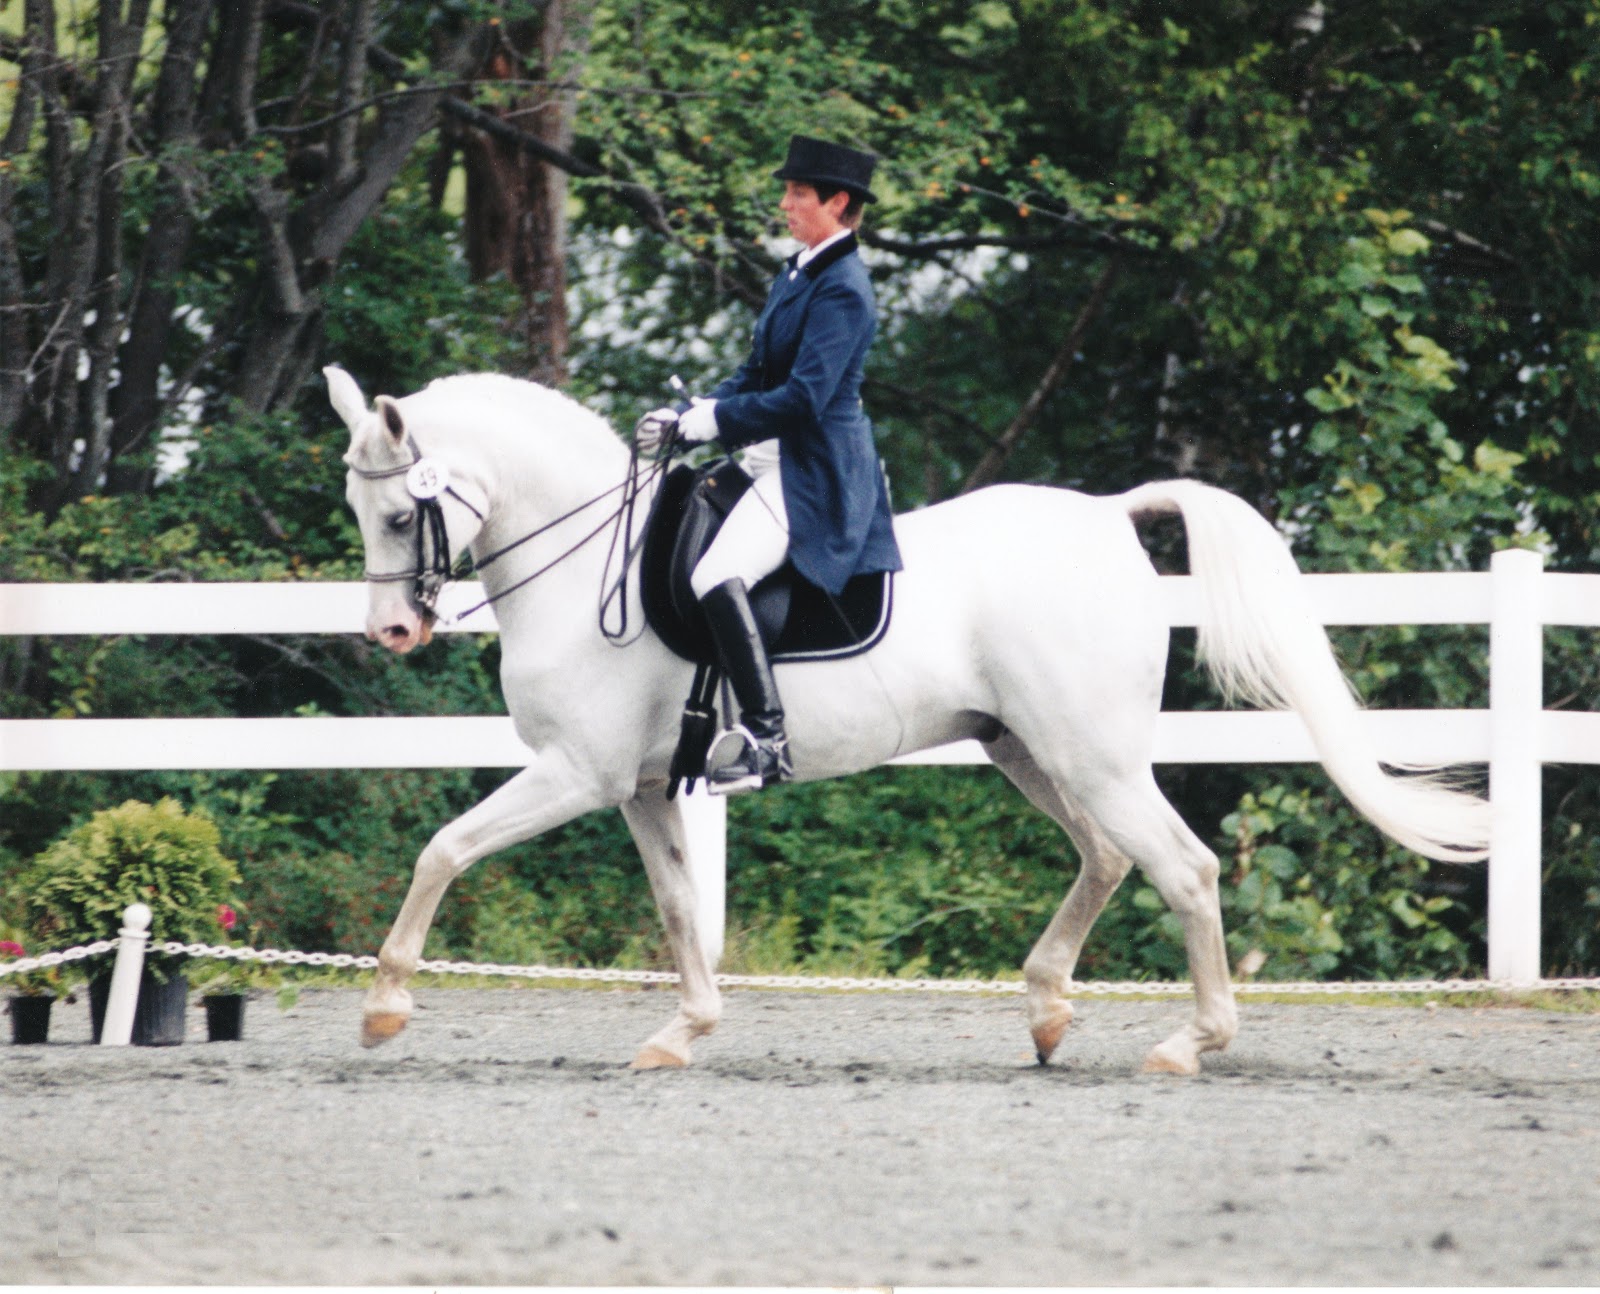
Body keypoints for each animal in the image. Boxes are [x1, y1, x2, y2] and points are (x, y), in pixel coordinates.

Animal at [328, 365, 1489, 1075]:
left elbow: (444, 849)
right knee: (1110, 858)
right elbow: (678, 907)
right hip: (1028, 749)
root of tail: (1107, 515)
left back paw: (1186, 1044)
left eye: (396, 512)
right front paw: (683, 1032)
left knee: (1185, 869)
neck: (583, 570)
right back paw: (1047, 1010)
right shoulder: (647, 785)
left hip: (1093, 755)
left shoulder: (576, 771)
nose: (390, 631)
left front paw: (384, 1009)